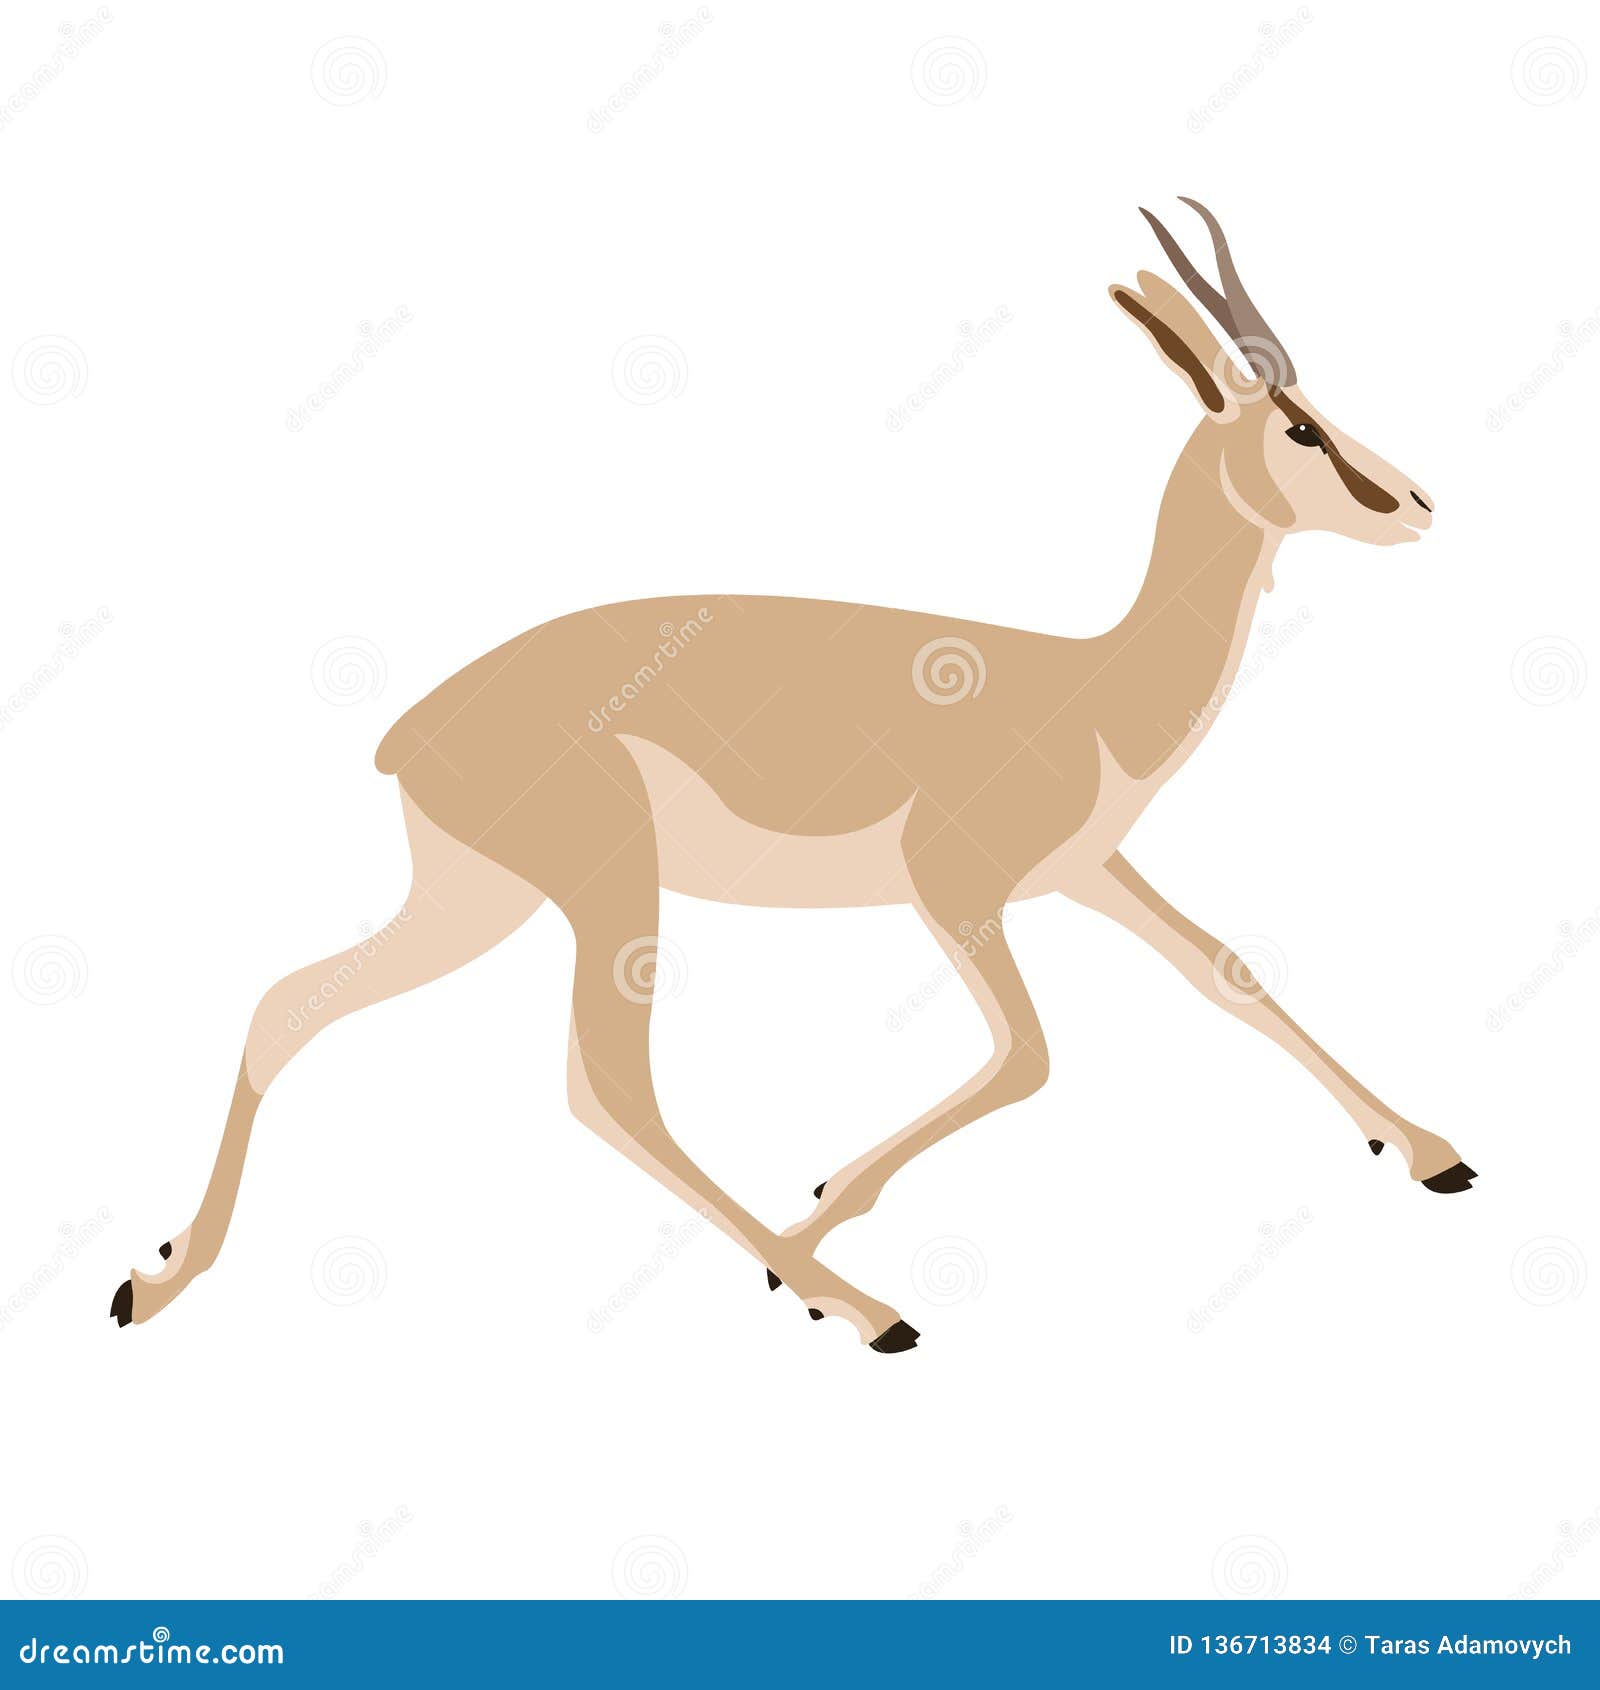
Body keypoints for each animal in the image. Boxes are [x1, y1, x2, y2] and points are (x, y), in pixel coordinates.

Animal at [111, 200, 1475, 1351]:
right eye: (1298, 426)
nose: (1416, 500)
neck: (1089, 686)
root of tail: (409, 727)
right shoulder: (952, 883)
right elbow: (1030, 1055)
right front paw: (816, 1208)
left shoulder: (1087, 870)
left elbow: (1228, 971)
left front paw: (1432, 1152)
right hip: (605, 891)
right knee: (606, 1087)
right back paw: (856, 1308)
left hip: (477, 898)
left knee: (289, 1004)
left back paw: (154, 1276)